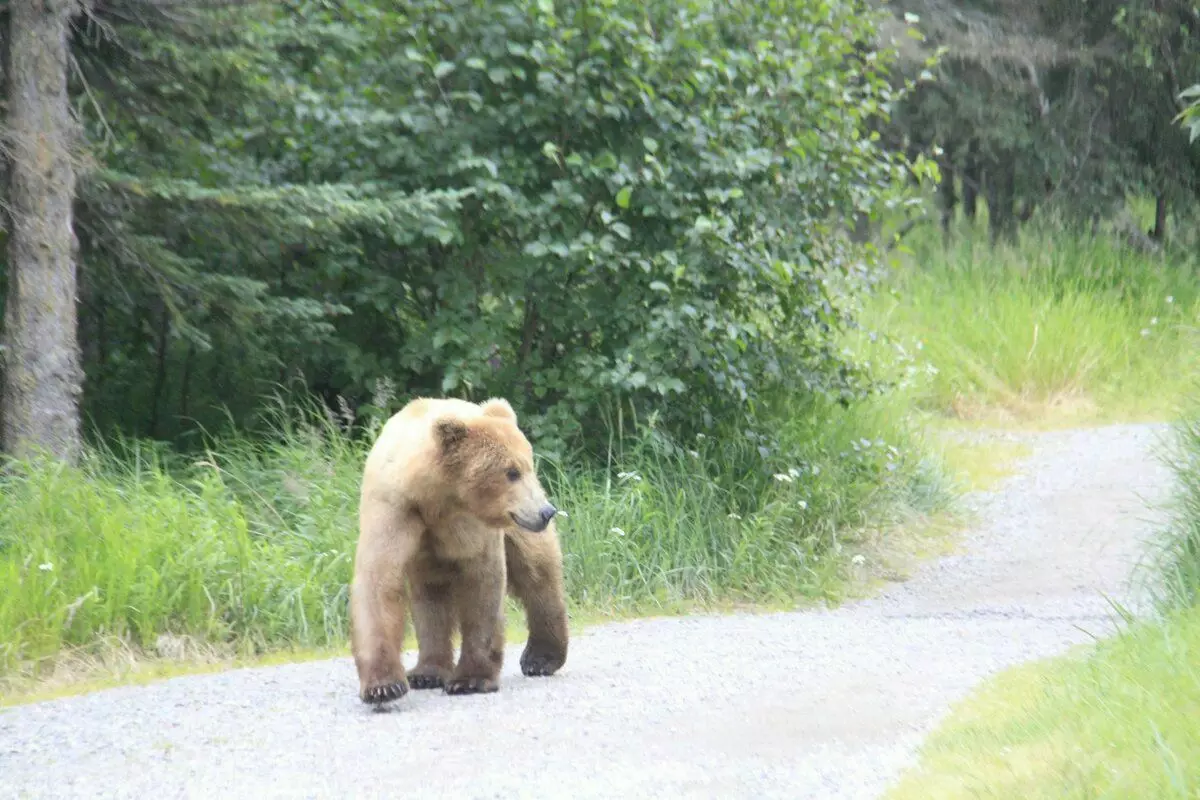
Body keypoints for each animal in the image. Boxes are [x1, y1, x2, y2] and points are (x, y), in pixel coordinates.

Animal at [350, 398, 568, 705]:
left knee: (536, 573)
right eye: (511, 472)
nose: (546, 512)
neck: (433, 498)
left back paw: (541, 657)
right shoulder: (394, 509)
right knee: (430, 600)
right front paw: (383, 687)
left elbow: (481, 583)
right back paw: (426, 671)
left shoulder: (471, 525)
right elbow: (378, 581)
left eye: (526, 467)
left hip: (517, 529)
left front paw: (470, 680)